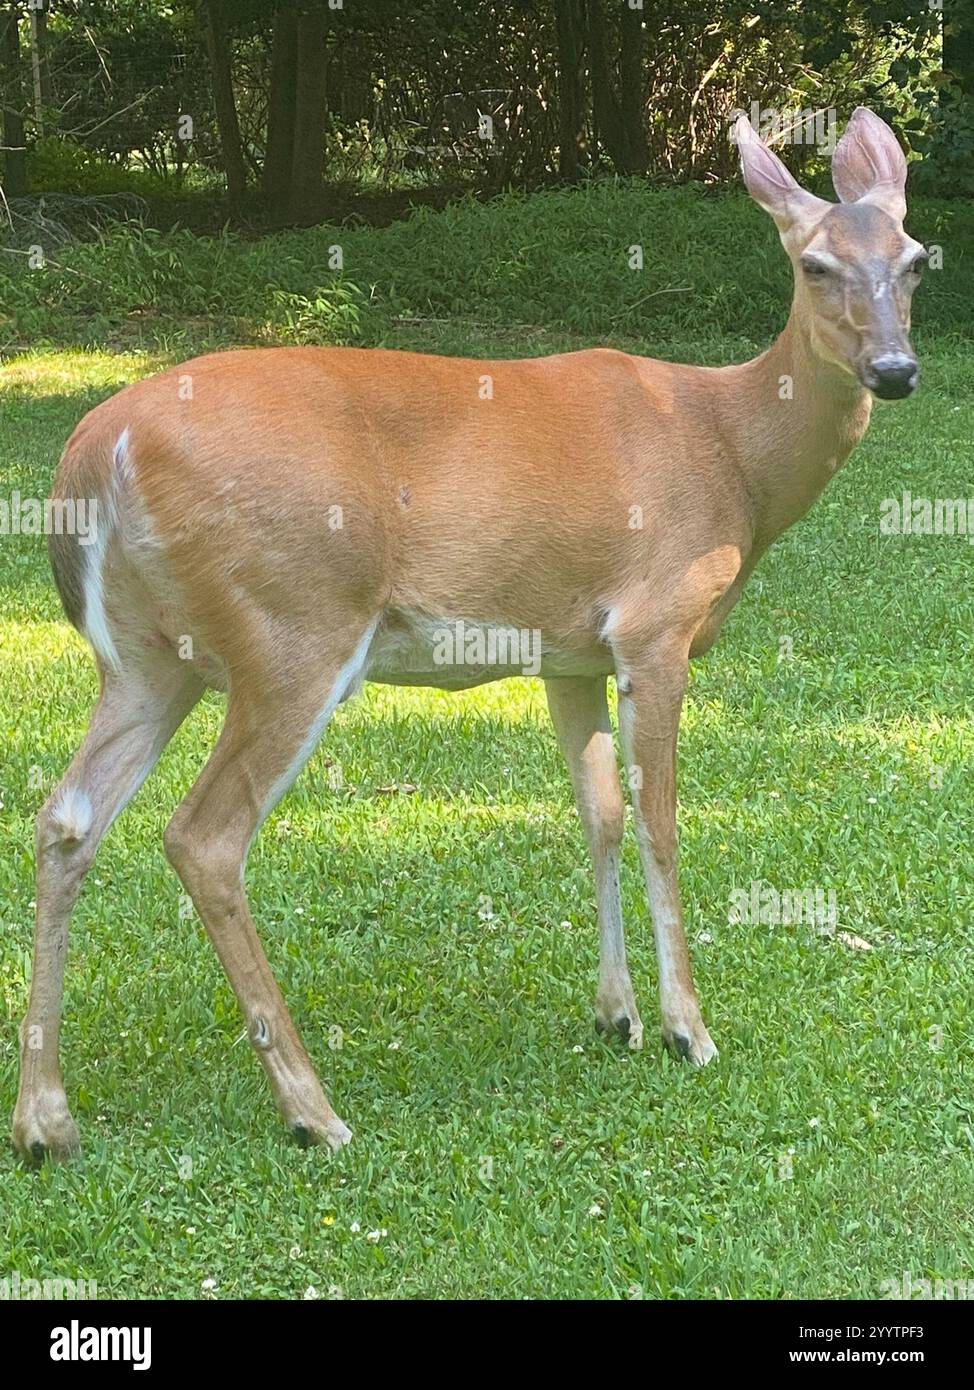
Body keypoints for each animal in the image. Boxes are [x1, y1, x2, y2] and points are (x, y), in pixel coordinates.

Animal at [12, 109, 925, 1162]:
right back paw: (314, 1110)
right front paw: (686, 1028)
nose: (897, 370)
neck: (733, 452)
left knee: (66, 818)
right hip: (293, 626)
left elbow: (598, 812)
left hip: (148, 659)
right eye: (814, 264)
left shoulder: (572, 650)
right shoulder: (656, 626)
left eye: (915, 260)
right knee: (203, 837)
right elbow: (659, 820)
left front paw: (614, 1014)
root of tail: (95, 451)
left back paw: (46, 1120)